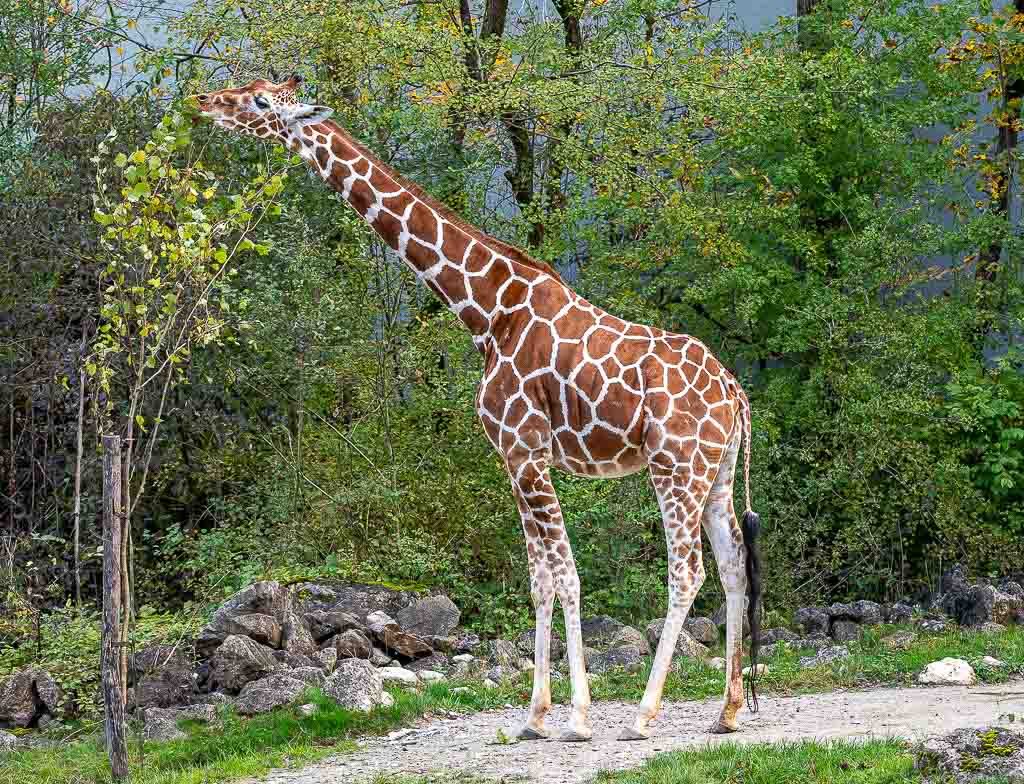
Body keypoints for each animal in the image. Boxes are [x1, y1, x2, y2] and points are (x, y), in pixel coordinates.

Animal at [195, 74, 763, 741]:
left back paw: (644, 715)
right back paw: (727, 710)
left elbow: (565, 575)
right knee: (732, 564)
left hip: (675, 467)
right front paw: (535, 716)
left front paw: (577, 716)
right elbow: (540, 580)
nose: (205, 103)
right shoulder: (513, 460)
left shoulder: (526, 450)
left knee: (686, 572)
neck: (487, 311)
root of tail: (736, 393)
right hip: (714, 473)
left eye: (259, 101)